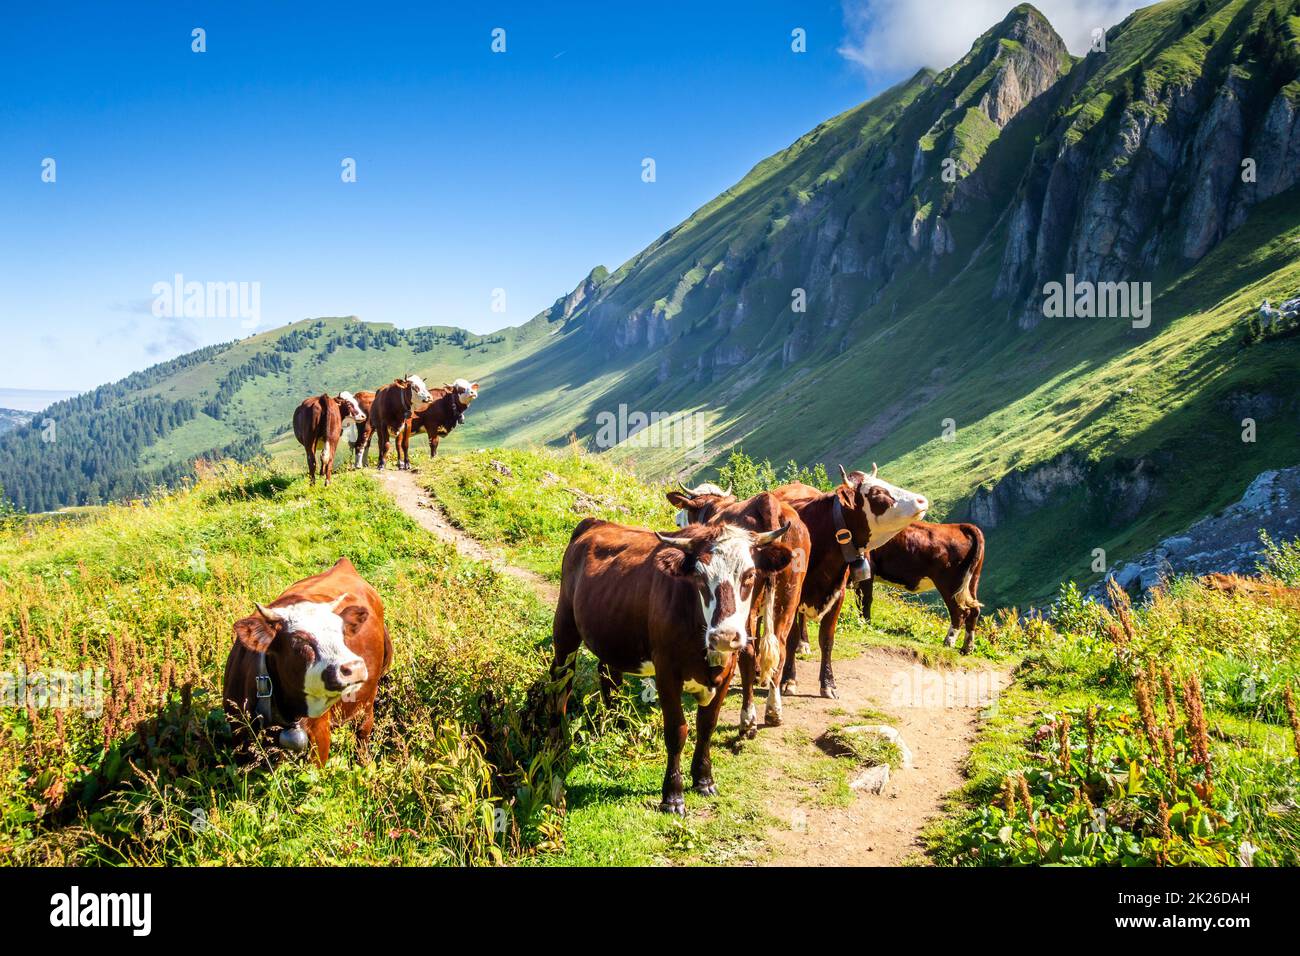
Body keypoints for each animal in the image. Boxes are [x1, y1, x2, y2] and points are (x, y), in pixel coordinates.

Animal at [222, 557, 393, 766]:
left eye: (342, 632)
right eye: (299, 640)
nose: (354, 667)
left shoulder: (319, 732)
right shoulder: (238, 735)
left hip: (367, 703)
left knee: (362, 736)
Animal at [551, 518, 793, 813]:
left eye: (748, 575)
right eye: (700, 577)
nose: (724, 636)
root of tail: (595, 522)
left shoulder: (726, 672)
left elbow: (707, 726)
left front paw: (704, 780)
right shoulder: (666, 671)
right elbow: (677, 731)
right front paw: (673, 795)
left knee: (608, 675)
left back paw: (616, 725)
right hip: (565, 626)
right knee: (561, 681)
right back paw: (557, 736)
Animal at [666, 487, 810, 738]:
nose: (677, 521)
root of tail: (768, 501)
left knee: (748, 652)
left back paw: (748, 720)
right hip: (790, 595)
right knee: (780, 646)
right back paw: (774, 710)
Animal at [671, 467, 928, 698]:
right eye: (876, 491)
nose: (922, 500)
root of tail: (768, 501)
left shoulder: (837, 593)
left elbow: (826, 639)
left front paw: (825, 683)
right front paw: (789, 680)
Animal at [847, 468, 986, 654]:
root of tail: (961, 526)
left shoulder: (868, 572)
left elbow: (865, 600)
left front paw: (865, 624)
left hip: (950, 583)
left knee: (960, 612)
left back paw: (949, 642)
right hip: (971, 581)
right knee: (974, 610)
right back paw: (967, 647)